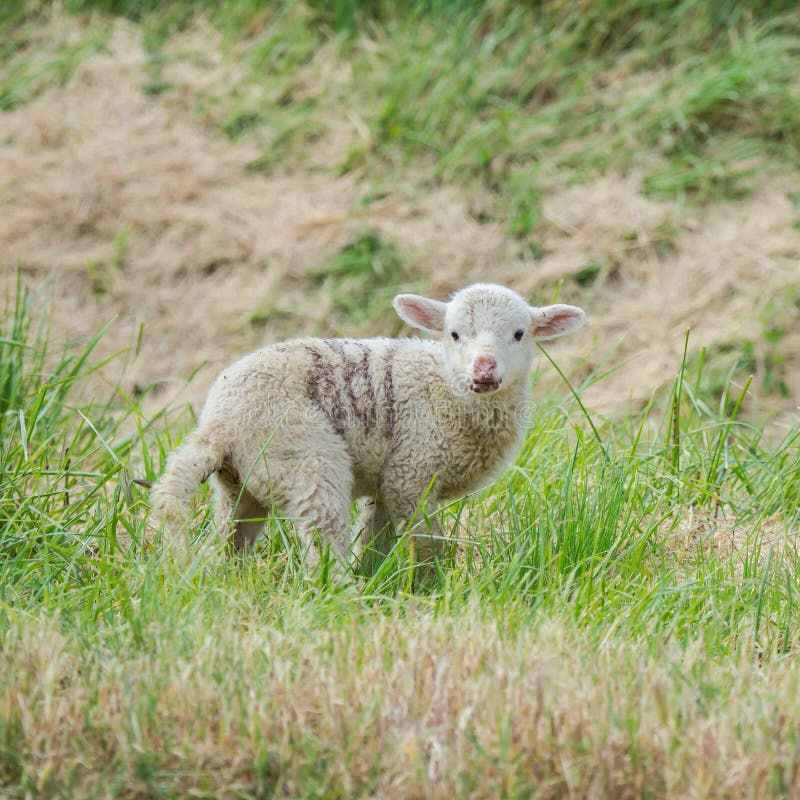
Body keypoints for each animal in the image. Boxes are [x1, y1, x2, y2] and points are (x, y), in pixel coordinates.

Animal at [150, 283, 585, 574]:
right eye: (454, 334)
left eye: (519, 334)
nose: (484, 371)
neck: (445, 388)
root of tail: (217, 425)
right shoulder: (412, 469)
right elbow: (427, 543)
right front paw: (431, 587)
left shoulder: (389, 480)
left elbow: (375, 537)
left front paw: (375, 575)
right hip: (305, 455)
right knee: (323, 540)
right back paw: (344, 593)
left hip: (242, 481)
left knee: (230, 536)